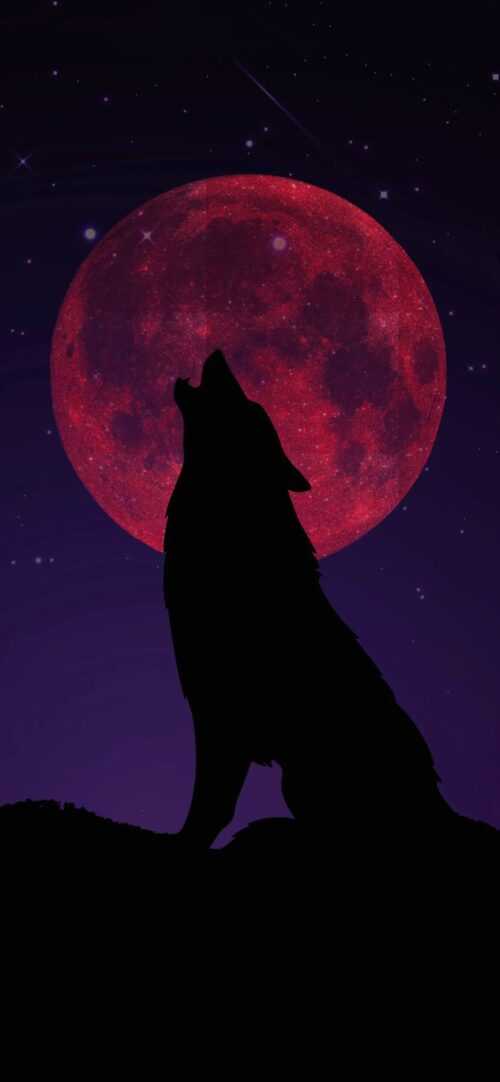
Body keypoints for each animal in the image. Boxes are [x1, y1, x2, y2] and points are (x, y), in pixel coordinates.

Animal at [163, 349, 447, 849]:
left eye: (250, 405)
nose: (218, 353)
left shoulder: (220, 713)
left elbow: (210, 804)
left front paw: (181, 843)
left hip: (300, 779)